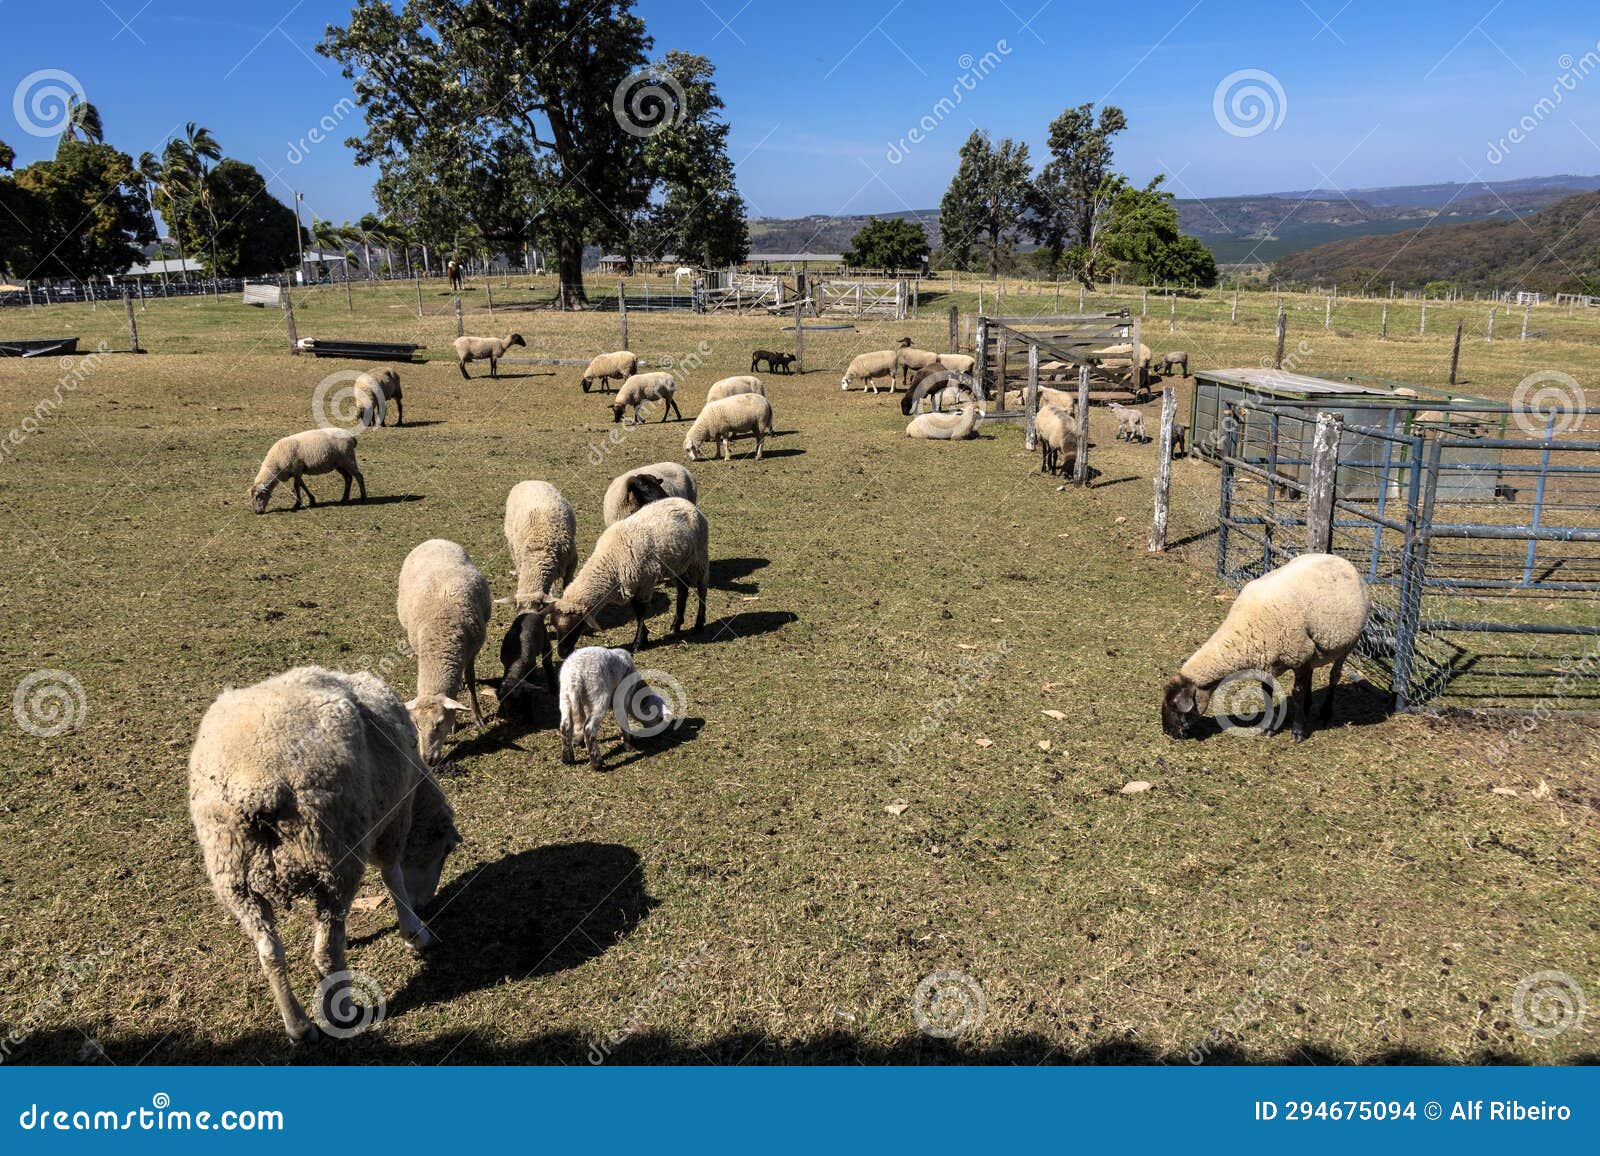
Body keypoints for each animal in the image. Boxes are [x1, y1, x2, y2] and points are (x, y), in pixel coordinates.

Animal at [187, 665, 460, 1042]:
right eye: (444, 850)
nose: (426, 905)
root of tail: (256, 787)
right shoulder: (394, 820)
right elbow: (393, 876)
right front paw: (414, 932)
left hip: (233, 873)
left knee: (270, 953)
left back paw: (299, 1027)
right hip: (333, 862)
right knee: (326, 953)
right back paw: (342, 1010)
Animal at [397, 539, 492, 763]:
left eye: (439, 723)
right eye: (416, 724)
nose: (428, 760)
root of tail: (434, 540)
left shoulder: (471, 651)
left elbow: (472, 681)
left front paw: (476, 716)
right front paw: (456, 724)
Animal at [496, 481, 578, 718]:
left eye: (539, 605)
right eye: (517, 609)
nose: (529, 627)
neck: (538, 554)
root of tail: (530, 480)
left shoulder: (571, 562)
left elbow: (565, 588)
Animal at [524, 497, 709, 657]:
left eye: (577, 626)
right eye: (554, 626)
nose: (562, 654)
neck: (610, 561)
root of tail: (687, 503)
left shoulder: (645, 583)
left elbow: (641, 612)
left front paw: (638, 642)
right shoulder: (632, 584)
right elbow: (636, 611)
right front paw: (644, 637)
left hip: (699, 557)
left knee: (702, 587)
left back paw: (699, 624)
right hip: (680, 563)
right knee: (683, 589)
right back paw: (676, 625)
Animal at [1162, 553, 1371, 743]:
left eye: (1175, 705)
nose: (1167, 732)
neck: (1245, 626)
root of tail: (1341, 560)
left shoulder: (1298, 655)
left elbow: (1297, 693)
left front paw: (1298, 731)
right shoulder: (1269, 662)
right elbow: (1267, 693)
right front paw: (1269, 728)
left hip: (1348, 644)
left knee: (1334, 676)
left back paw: (1326, 712)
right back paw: (1309, 705)